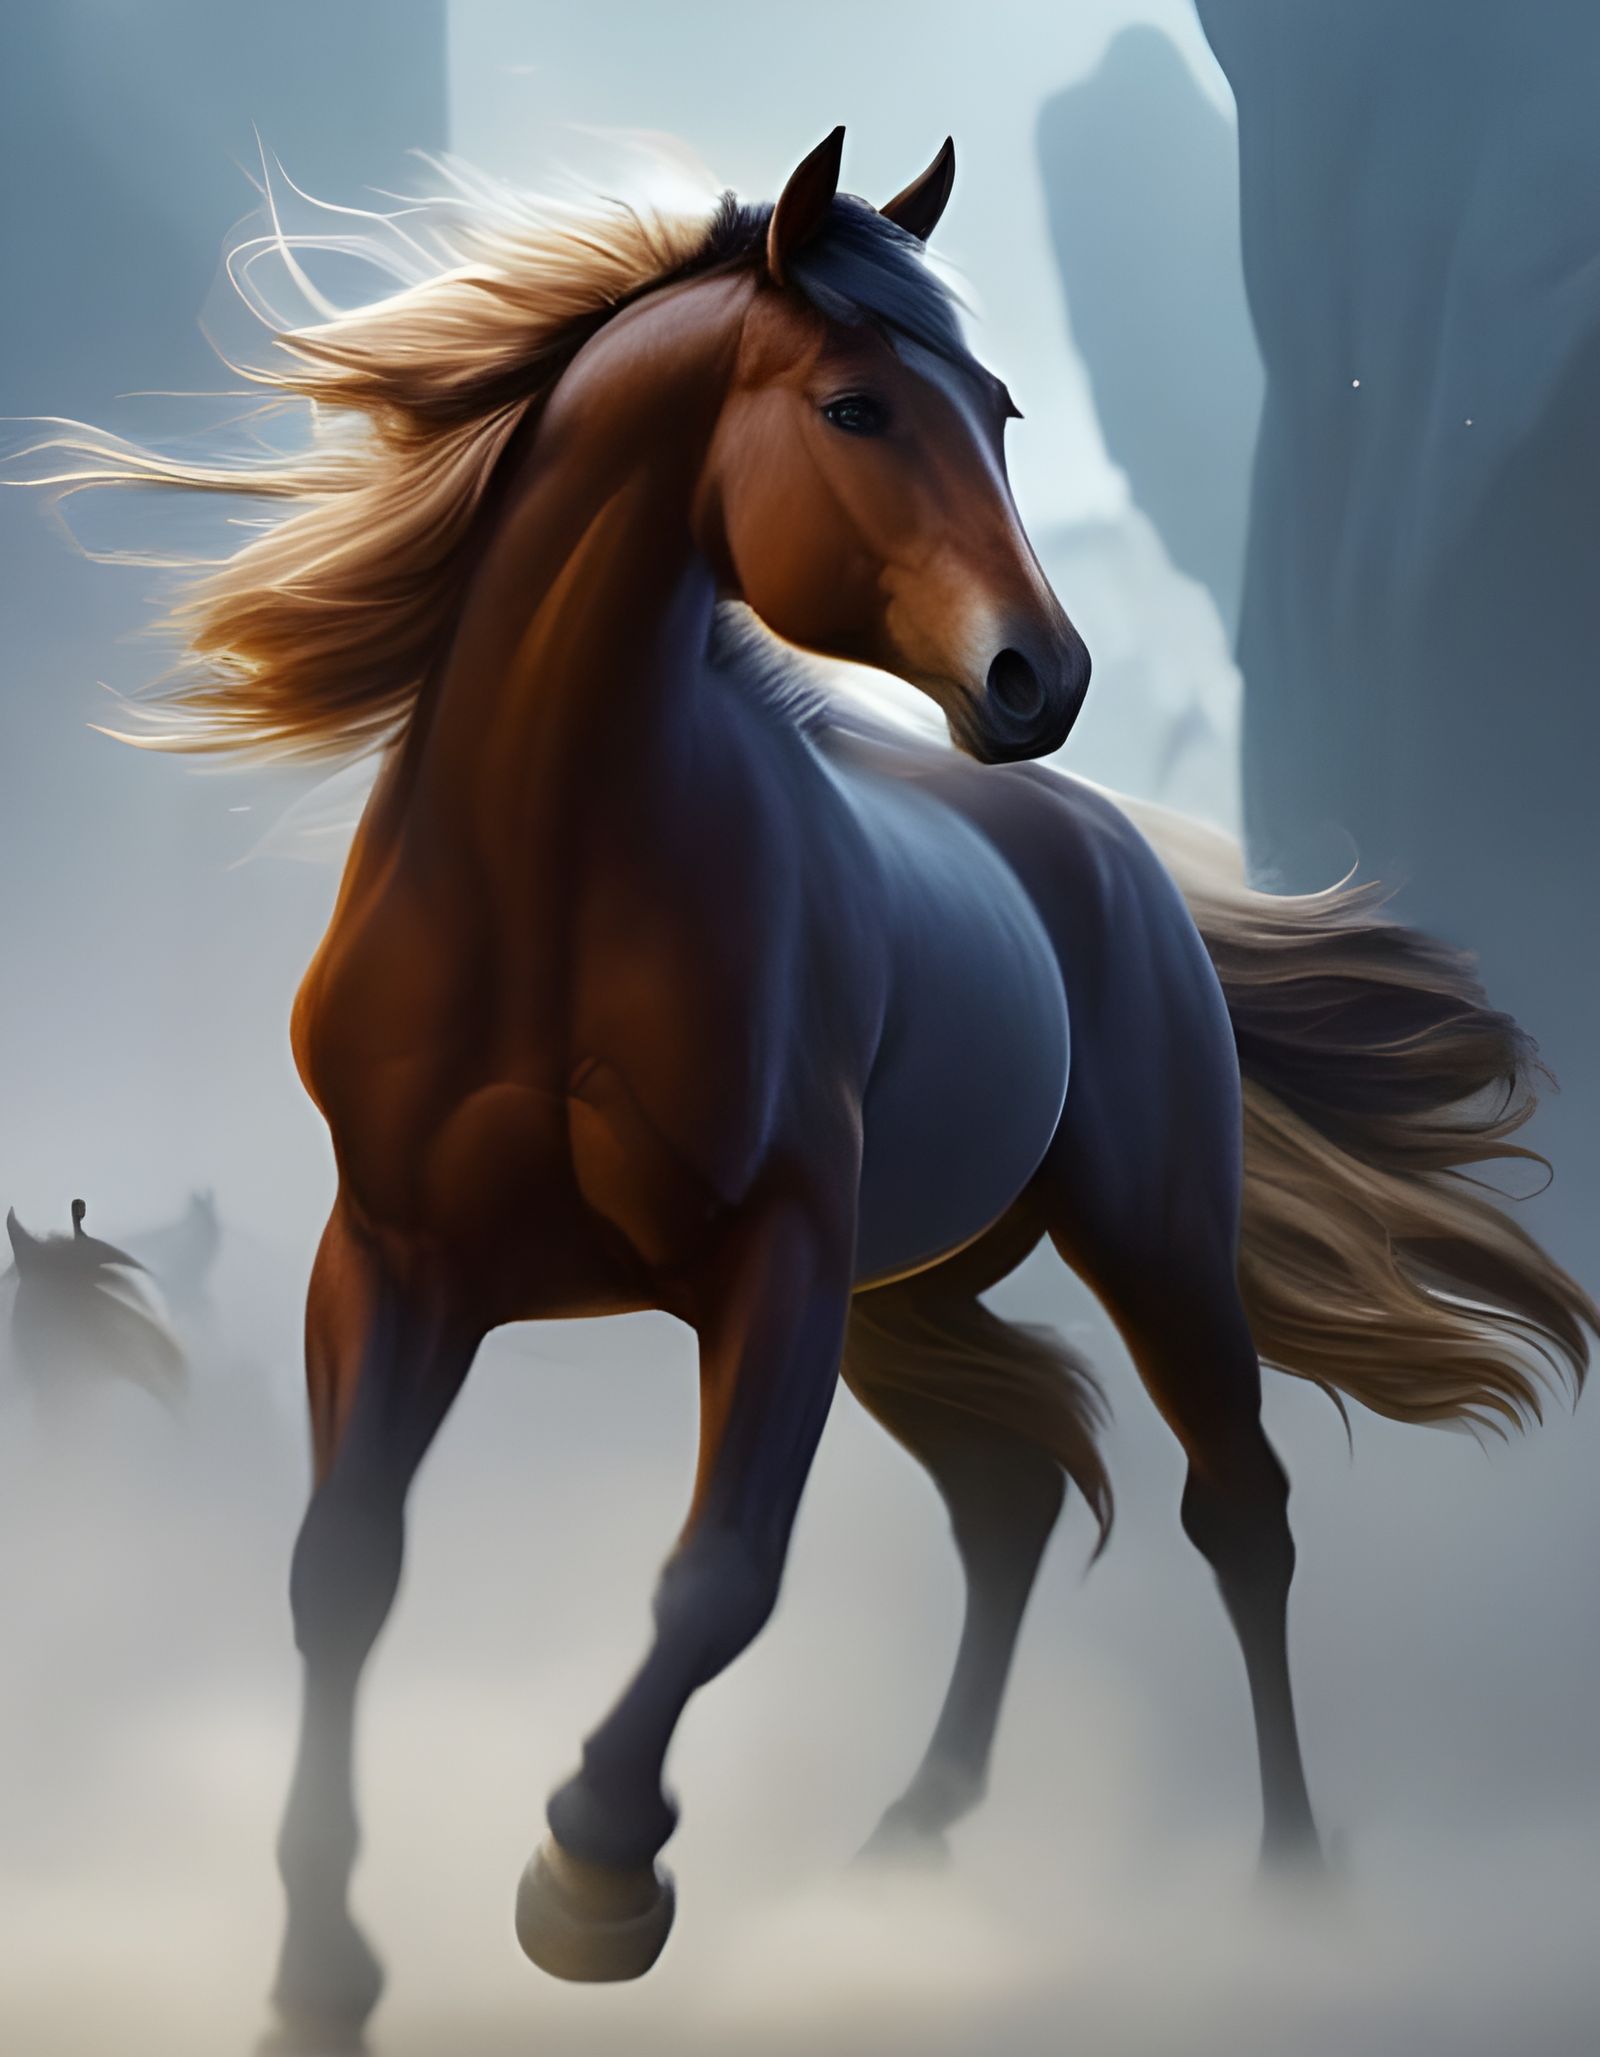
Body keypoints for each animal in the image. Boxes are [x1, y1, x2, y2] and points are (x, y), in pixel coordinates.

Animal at [32, 129, 1595, 2041]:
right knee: (1008, 1498)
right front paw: (319, 1968)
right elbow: (345, 1568)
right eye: (856, 405)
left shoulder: (766, 1257)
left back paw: (1290, 1891)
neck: (546, 885)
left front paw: (593, 1874)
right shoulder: (394, 1258)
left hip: (1138, 1242)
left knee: (1240, 1511)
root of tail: (1117, 849)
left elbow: (721, 1573)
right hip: (901, 1298)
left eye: (997, 405)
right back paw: (901, 1844)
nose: (1042, 674)